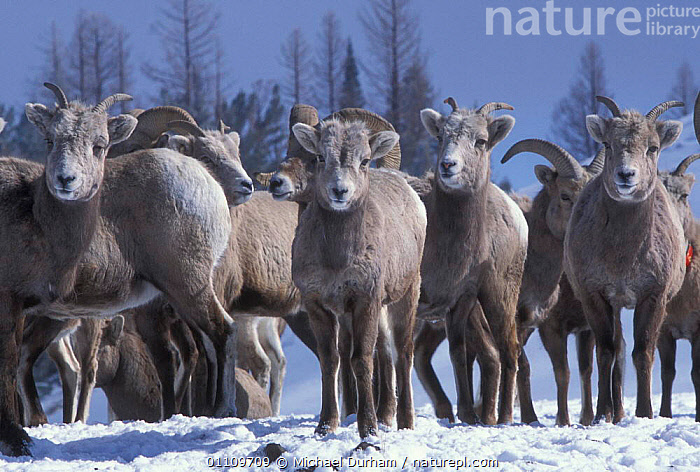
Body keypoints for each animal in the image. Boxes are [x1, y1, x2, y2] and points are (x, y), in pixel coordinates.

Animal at [290, 117, 426, 438]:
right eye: (320, 157)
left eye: (364, 160)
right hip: (367, 313)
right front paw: (325, 426)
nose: (340, 191)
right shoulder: (320, 306)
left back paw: (404, 422)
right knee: (385, 354)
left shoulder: (366, 300)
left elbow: (361, 361)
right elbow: (331, 361)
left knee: (403, 354)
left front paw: (369, 429)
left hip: (405, 296)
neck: (337, 259)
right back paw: (386, 416)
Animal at [417, 98, 527, 425]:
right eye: (441, 136)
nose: (448, 165)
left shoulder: (457, 301)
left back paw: (503, 418)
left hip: (499, 295)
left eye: (481, 141)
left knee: (507, 350)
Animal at [564, 96, 686, 423]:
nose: (626, 175)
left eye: (653, 147)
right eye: (608, 144)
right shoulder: (597, 296)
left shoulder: (652, 297)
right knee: (616, 351)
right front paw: (599, 416)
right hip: (616, 306)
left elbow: (642, 353)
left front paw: (645, 413)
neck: (623, 256)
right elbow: (606, 352)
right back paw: (613, 413)